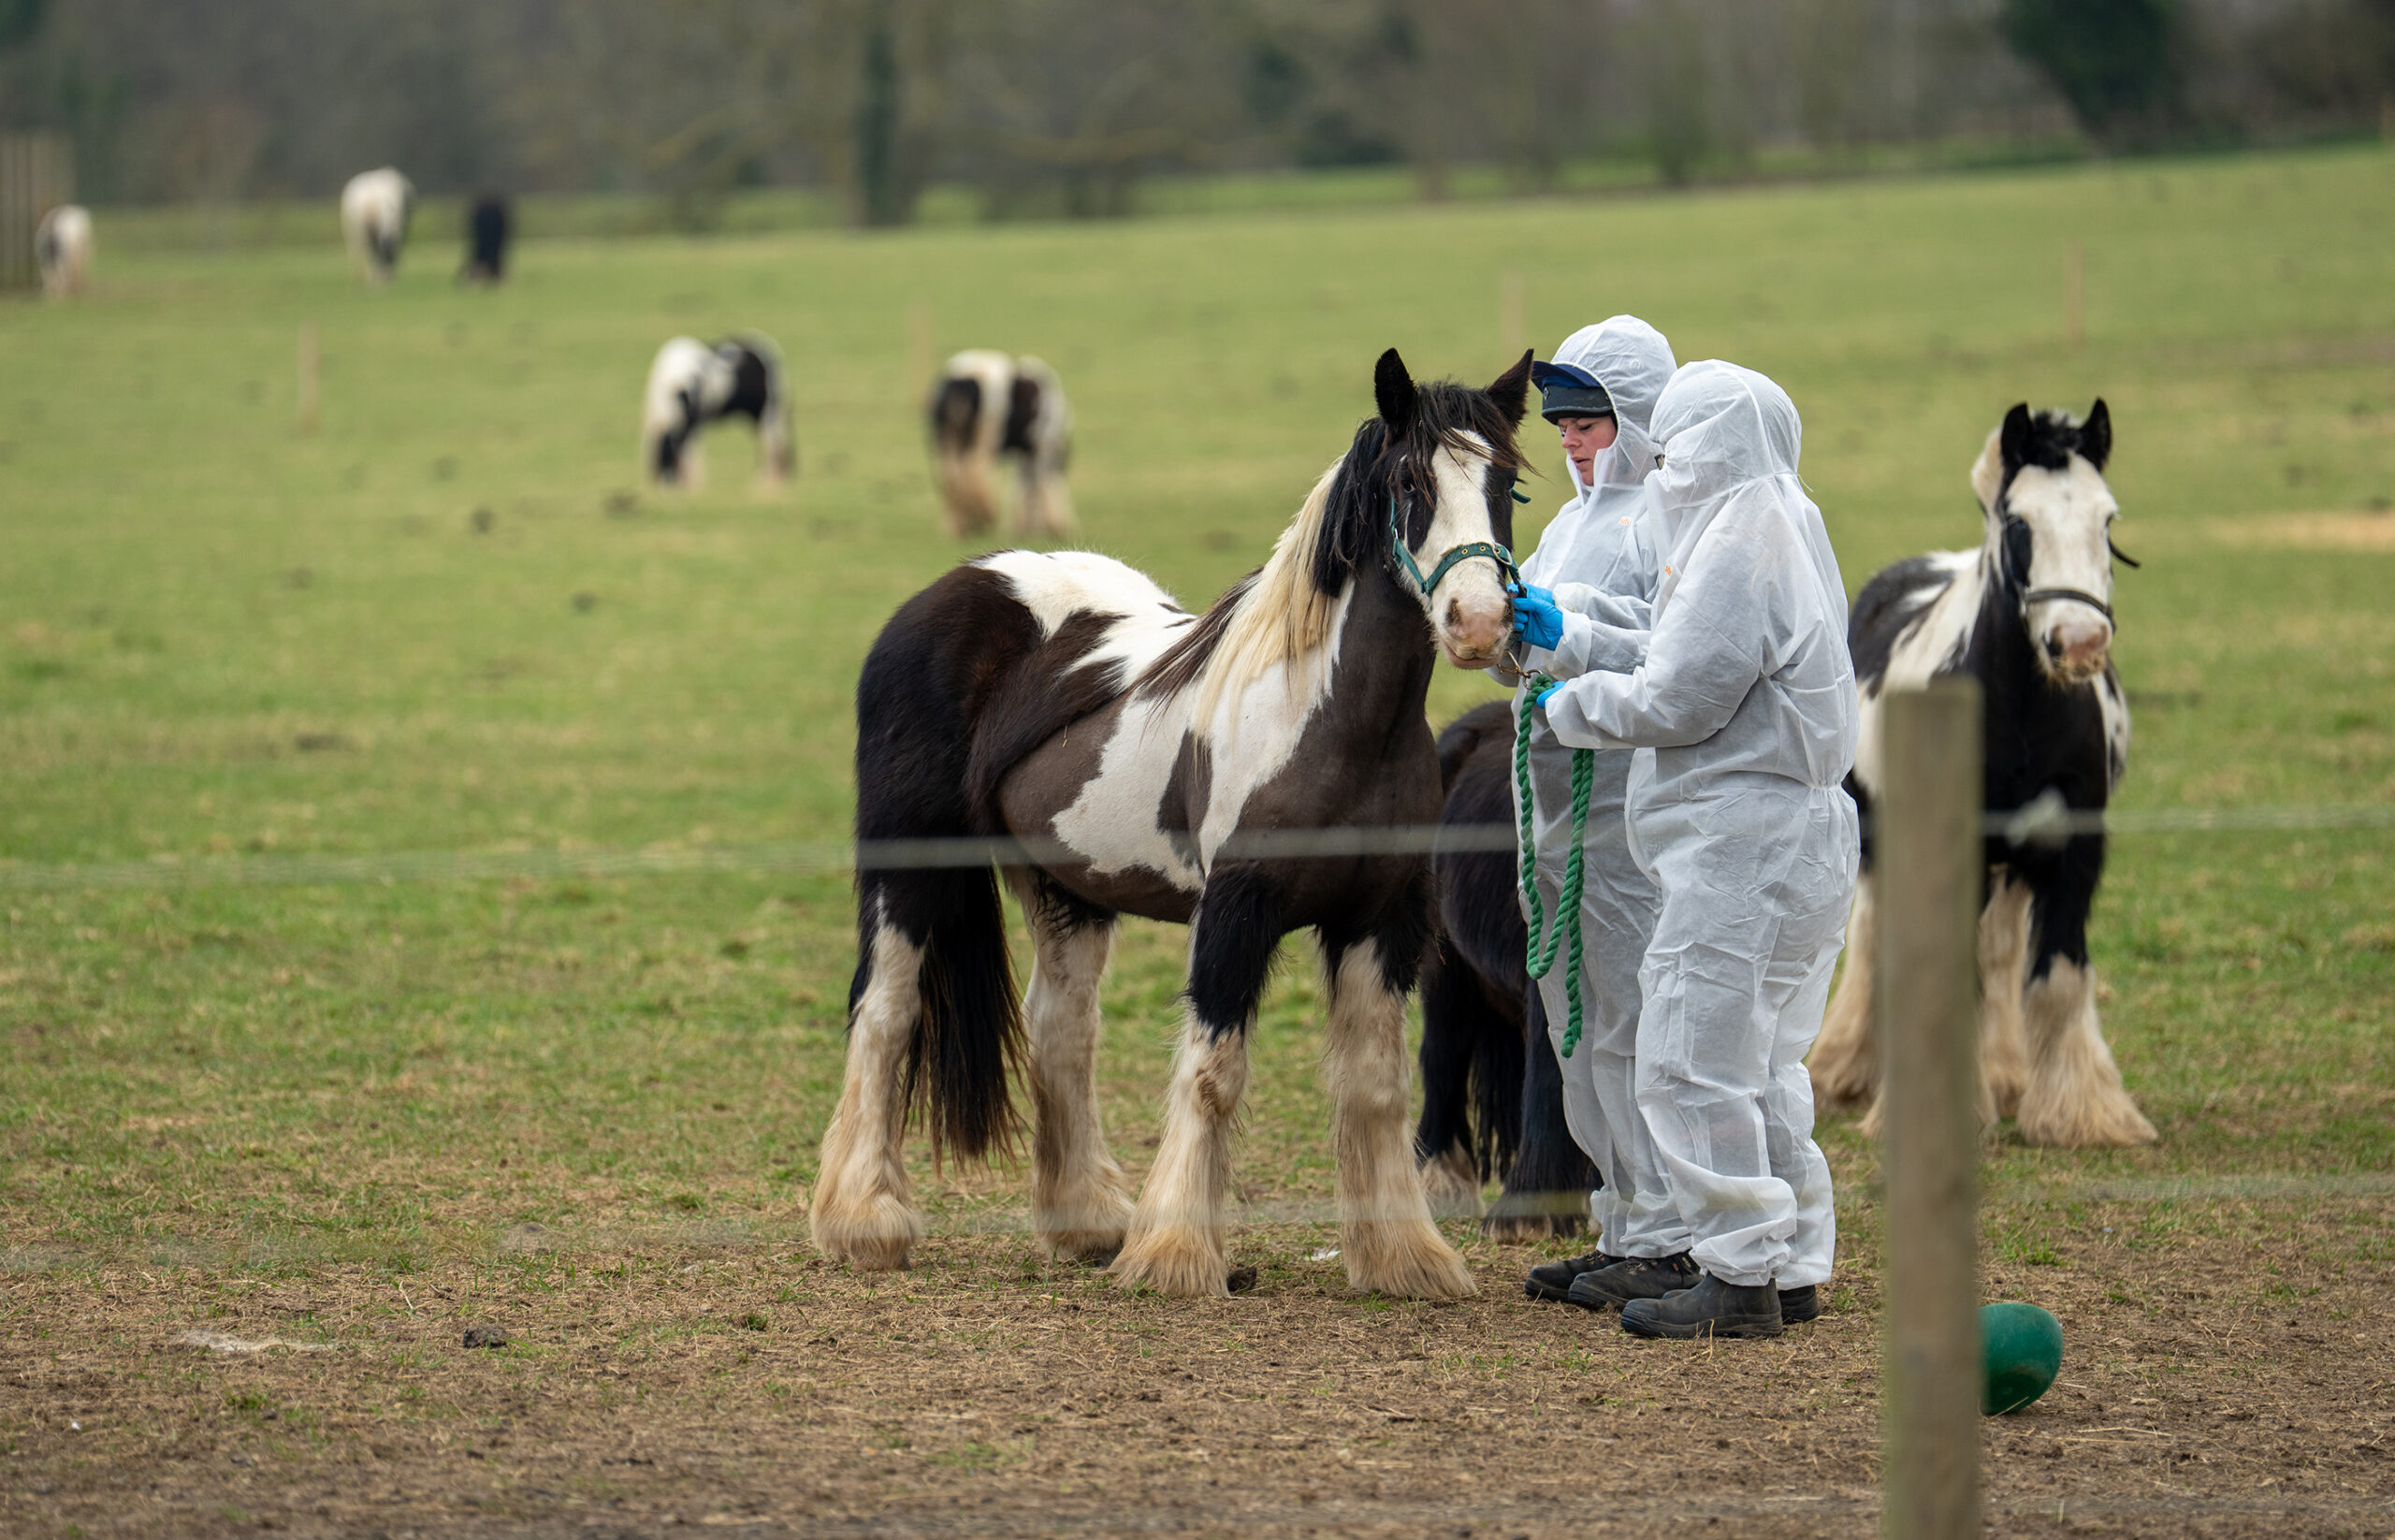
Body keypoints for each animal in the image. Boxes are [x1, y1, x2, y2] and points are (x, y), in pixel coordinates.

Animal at [640, 333, 794, 489]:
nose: (665, 485)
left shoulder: (695, 419)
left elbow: (691, 448)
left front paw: (695, 483)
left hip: (767, 412)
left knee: (772, 443)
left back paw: (767, 482)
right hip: (758, 414)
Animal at [928, 350, 1074, 538]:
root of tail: (962, 376)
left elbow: (1027, 481)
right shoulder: (1042, 445)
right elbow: (1041, 480)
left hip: (947, 437)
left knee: (950, 475)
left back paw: (959, 526)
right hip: (986, 436)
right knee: (976, 467)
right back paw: (983, 517)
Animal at [1807, 401, 2155, 1147]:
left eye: (2107, 520)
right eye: (2020, 523)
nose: (2079, 644)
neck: (2015, 713)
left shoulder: (2073, 851)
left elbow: (2055, 978)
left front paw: (2082, 1113)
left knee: (1997, 953)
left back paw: (2004, 1076)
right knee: (1875, 940)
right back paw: (1847, 1067)